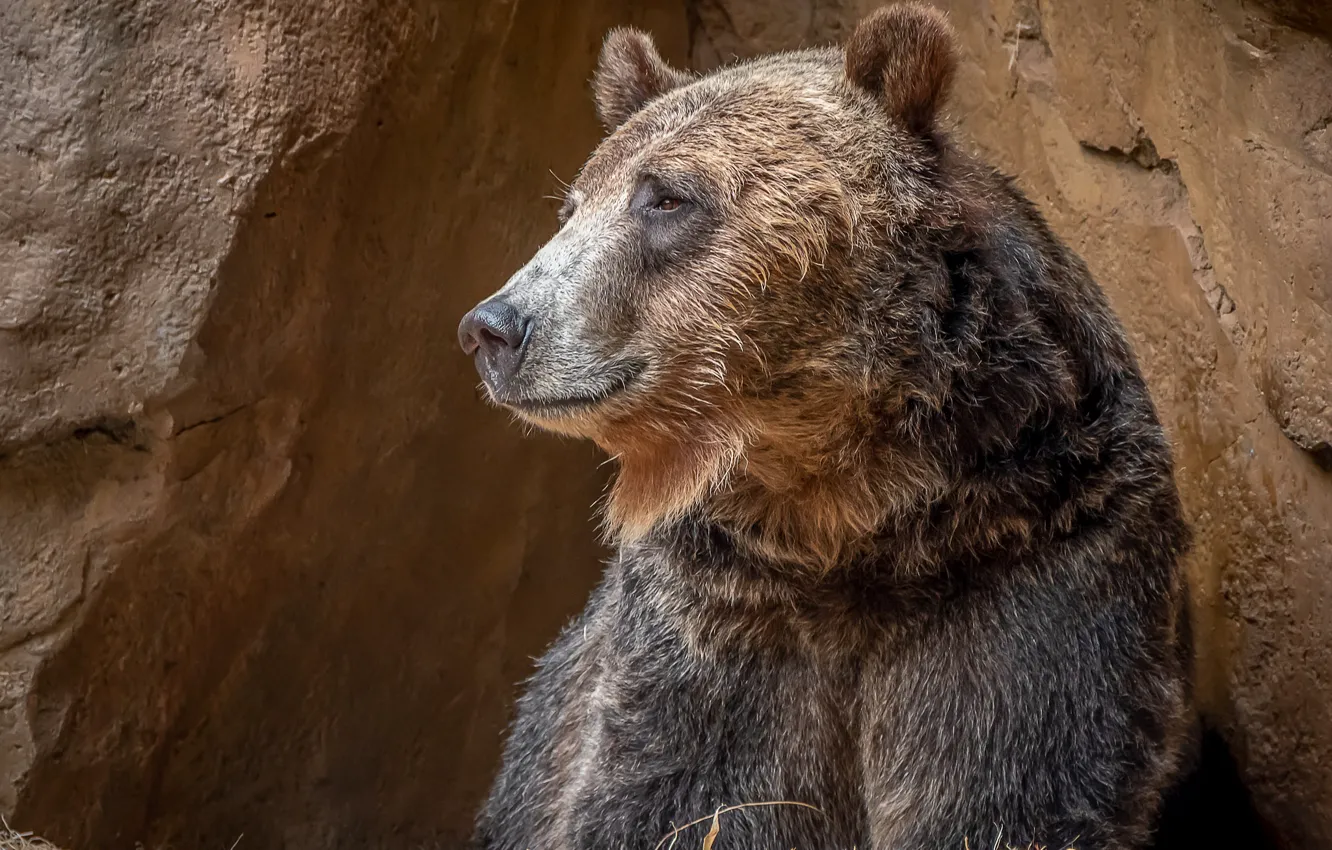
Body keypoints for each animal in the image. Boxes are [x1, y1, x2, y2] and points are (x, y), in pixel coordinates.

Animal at [456, 4, 1194, 849]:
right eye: (573, 207)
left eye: (665, 198)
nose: (495, 327)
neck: (848, 506)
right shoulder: (717, 615)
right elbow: (682, 794)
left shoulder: (1040, 550)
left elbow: (1012, 786)